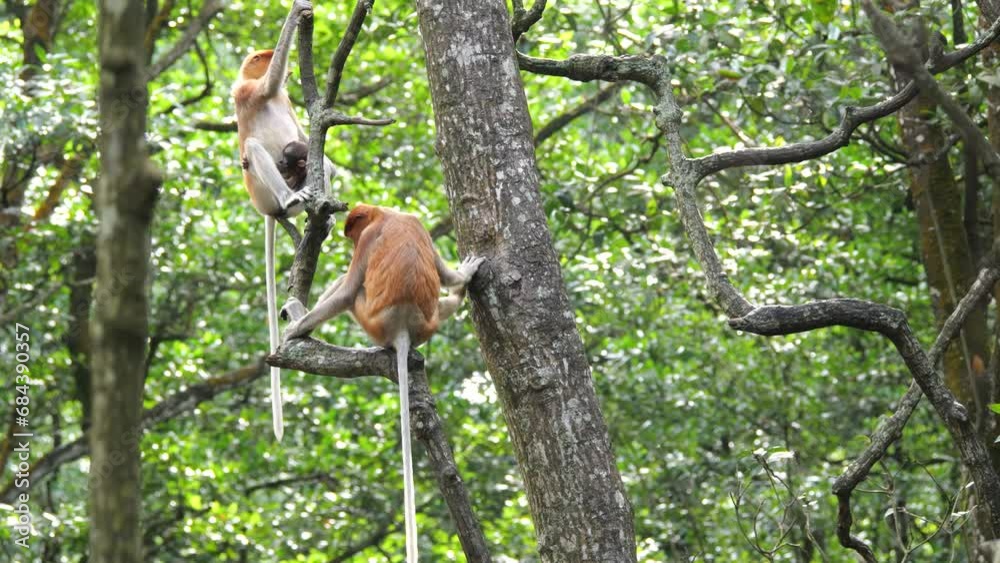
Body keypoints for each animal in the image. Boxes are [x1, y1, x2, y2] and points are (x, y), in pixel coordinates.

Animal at [281, 204, 485, 563]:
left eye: (353, 233)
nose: (348, 240)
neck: (391, 216)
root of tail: (403, 328)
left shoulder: (369, 240)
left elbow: (347, 290)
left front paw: (294, 330)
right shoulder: (418, 222)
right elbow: (446, 273)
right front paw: (465, 273)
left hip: (370, 319)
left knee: (349, 290)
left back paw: (297, 315)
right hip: (428, 322)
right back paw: (458, 294)